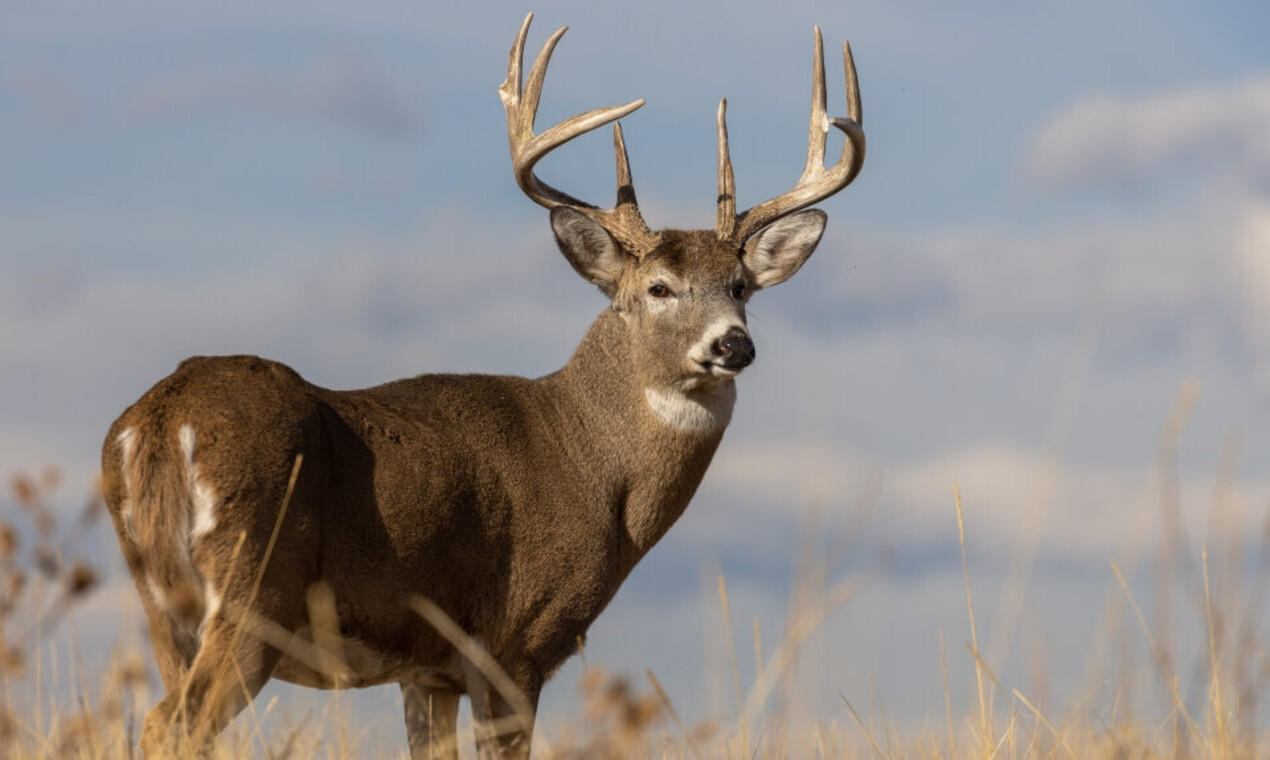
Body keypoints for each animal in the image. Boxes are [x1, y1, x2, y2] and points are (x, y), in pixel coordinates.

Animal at [100, 12, 864, 759]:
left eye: (740, 286)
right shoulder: (516, 641)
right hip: (254, 587)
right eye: (659, 287)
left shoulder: (427, 670)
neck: (591, 463)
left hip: (162, 605)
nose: (734, 343)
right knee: (173, 722)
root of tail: (160, 419)